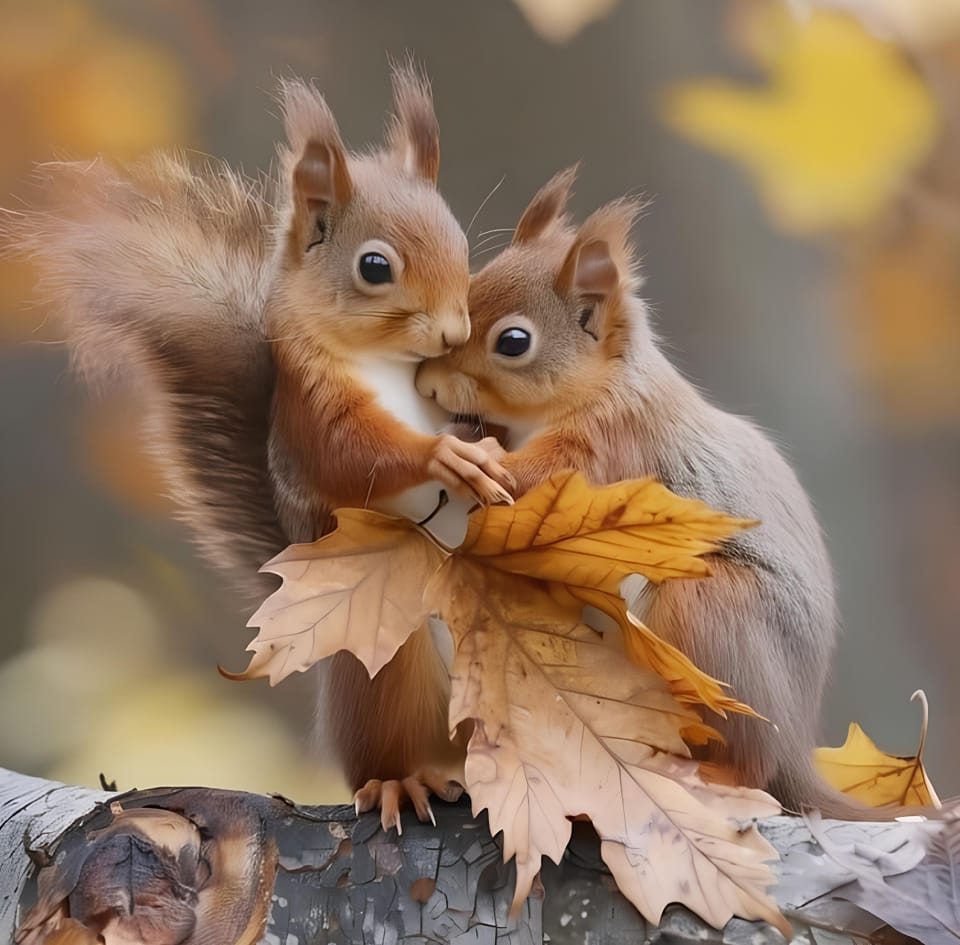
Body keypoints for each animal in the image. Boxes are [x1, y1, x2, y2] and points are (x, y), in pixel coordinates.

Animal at [6, 64, 505, 825]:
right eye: (374, 267)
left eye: (462, 248)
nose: (455, 333)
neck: (389, 363)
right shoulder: (309, 411)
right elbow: (352, 459)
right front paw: (443, 457)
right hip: (384, 659)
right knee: (383, 753)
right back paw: (403, 782)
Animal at [415, 167, 881, 820]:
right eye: (472, 285)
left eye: (512, 342)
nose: (427, 383)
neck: (606, 383)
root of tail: (794, 745)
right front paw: (460, 439)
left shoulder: (611, 444)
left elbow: (539, 477)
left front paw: (472, 458)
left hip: (710, 615)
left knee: (749, 766)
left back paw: (702, 773)